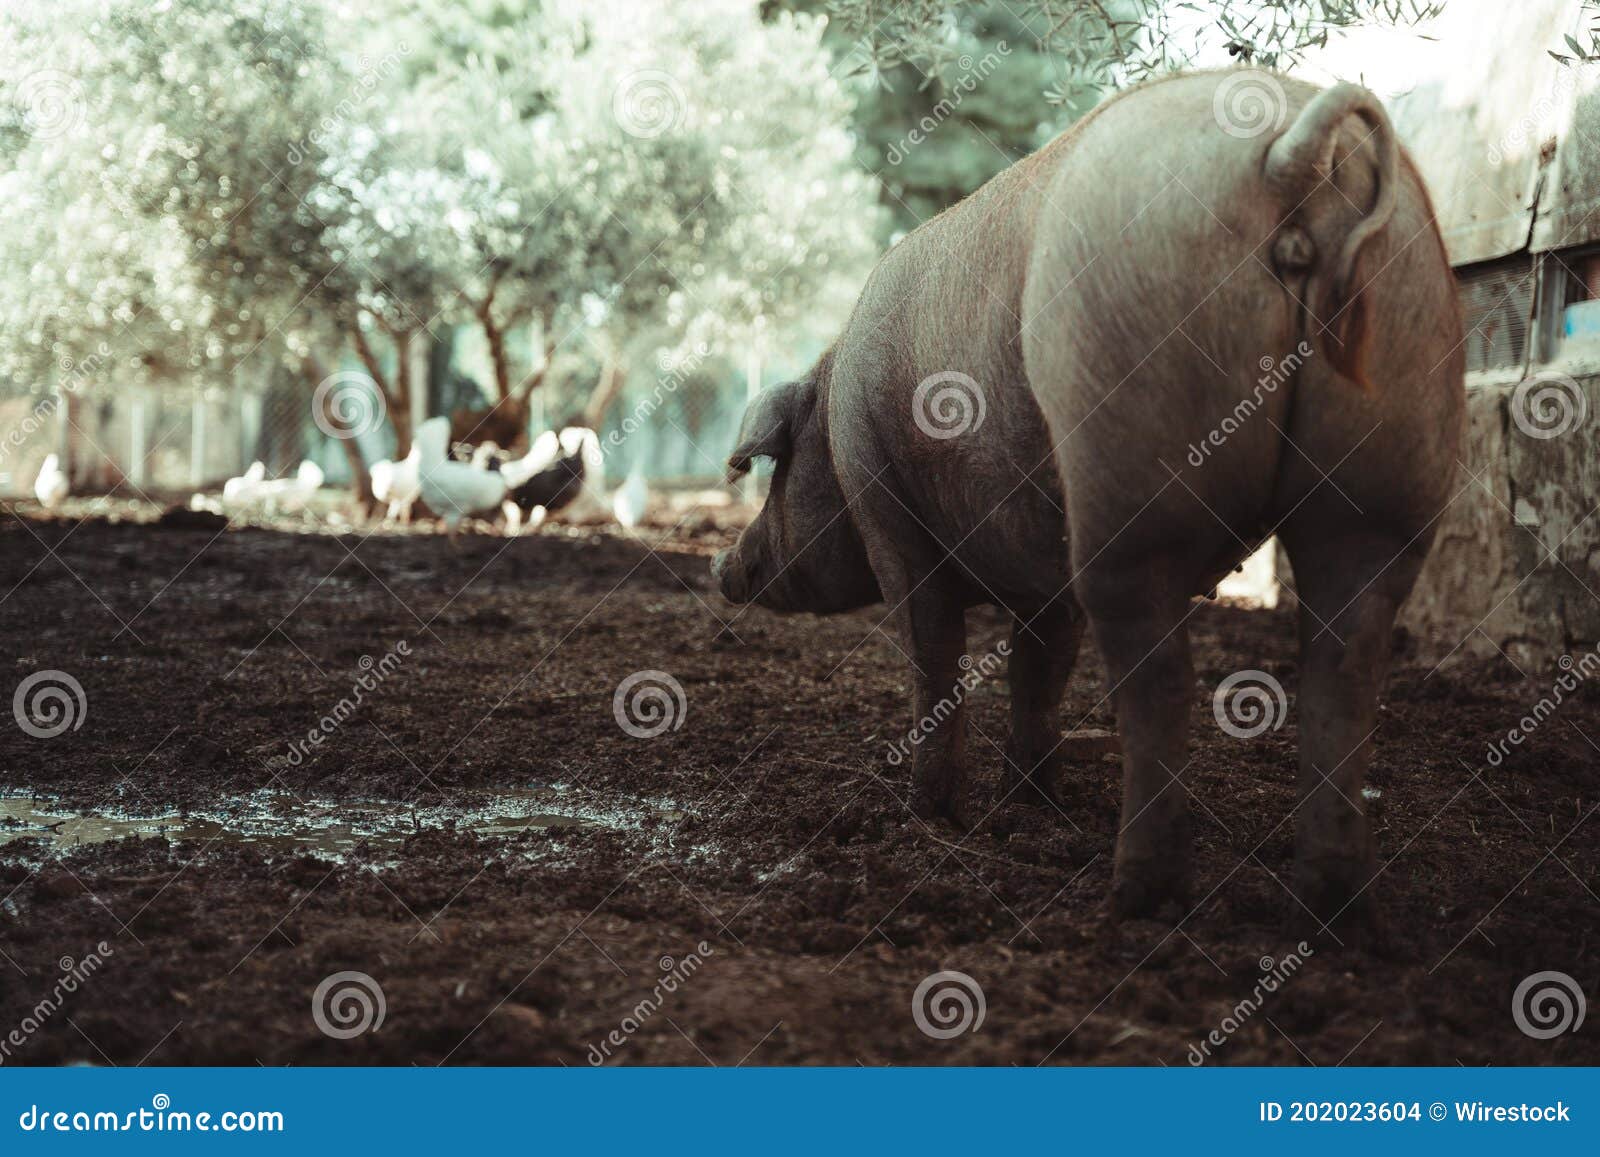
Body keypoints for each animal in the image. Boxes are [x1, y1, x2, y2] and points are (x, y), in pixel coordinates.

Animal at [712, 69, 1464, 925]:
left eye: (773, 469)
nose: (721, 566)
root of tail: (1293, 153)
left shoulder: (891, 523)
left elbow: (935, 656)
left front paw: (930, 814)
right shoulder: (1044, 573)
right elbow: (1038, 672)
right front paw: (1027, 805)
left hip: (1131, 449)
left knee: (1160, 678)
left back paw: (1136, 900)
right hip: (1394, 448)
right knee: (1347, 663)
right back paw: (1333, 907)